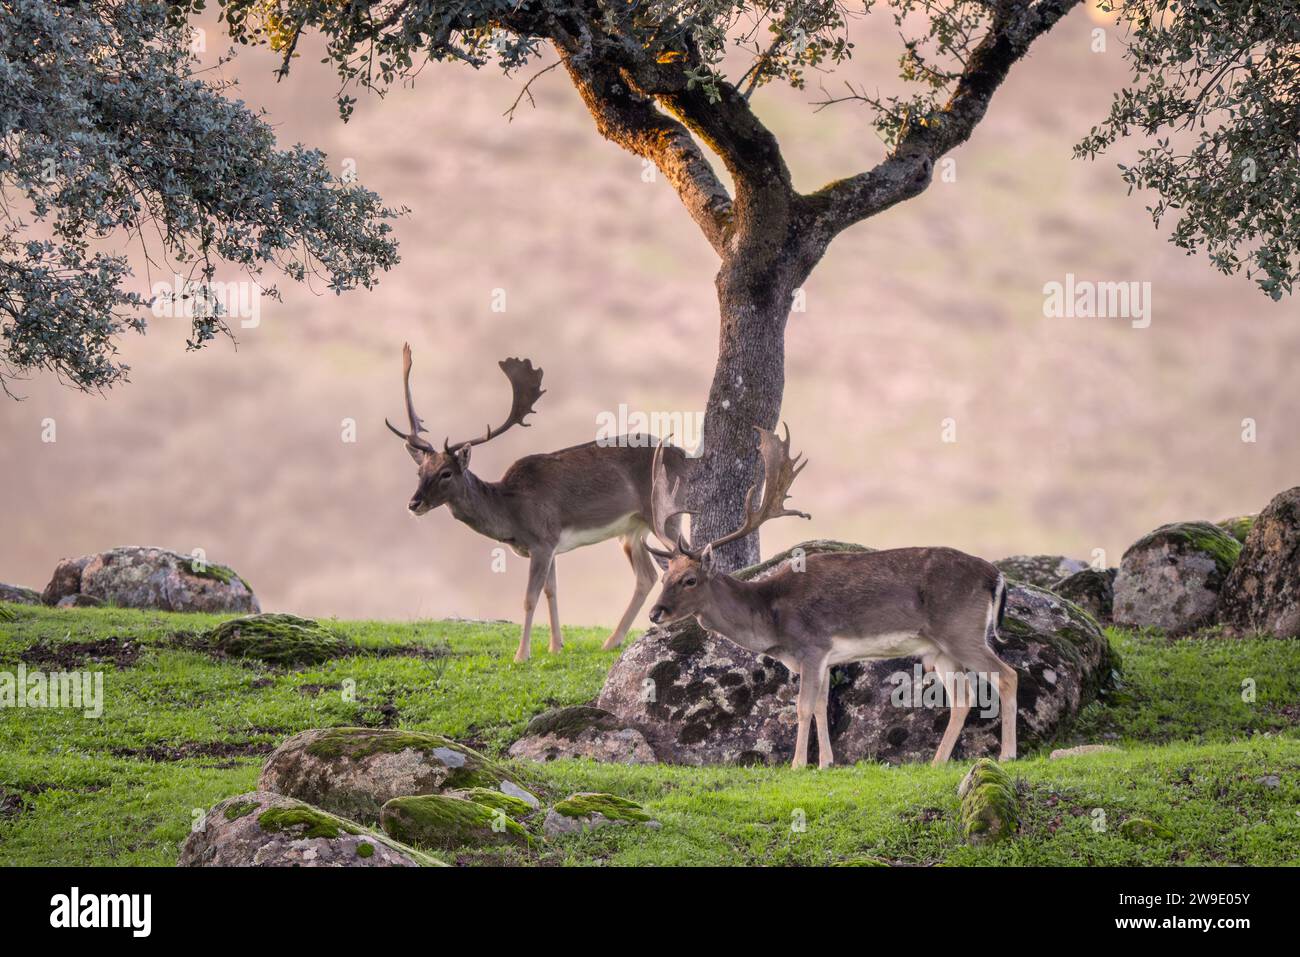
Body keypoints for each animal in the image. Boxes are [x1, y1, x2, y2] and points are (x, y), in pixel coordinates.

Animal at [386, 343, 692, 663]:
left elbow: (529, 597)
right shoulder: (551, 544)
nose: (414, 503)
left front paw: (522, 654)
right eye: (420, 471)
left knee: (682, 554)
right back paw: (611, 641)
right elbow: (551, 590)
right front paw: (556, 646)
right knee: (647, 575)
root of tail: (686, 455)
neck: (511, 514)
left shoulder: (542, 541)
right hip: (632, 530)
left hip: (665, 513)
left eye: (446, 473)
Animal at [643, 425, 1018, 769]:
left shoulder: (812, 644)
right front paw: (825, 761)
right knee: (963, 698)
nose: (655, 613)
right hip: (940, 649)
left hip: (961, 631)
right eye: (664, 576)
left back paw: (1007, 754)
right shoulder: (825, 657)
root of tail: (995, 576)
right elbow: (821, 706)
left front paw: (797, 764)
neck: (772, 617)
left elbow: (803, 707)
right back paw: (937, 762)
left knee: (1007, 675)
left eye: (690, 579)